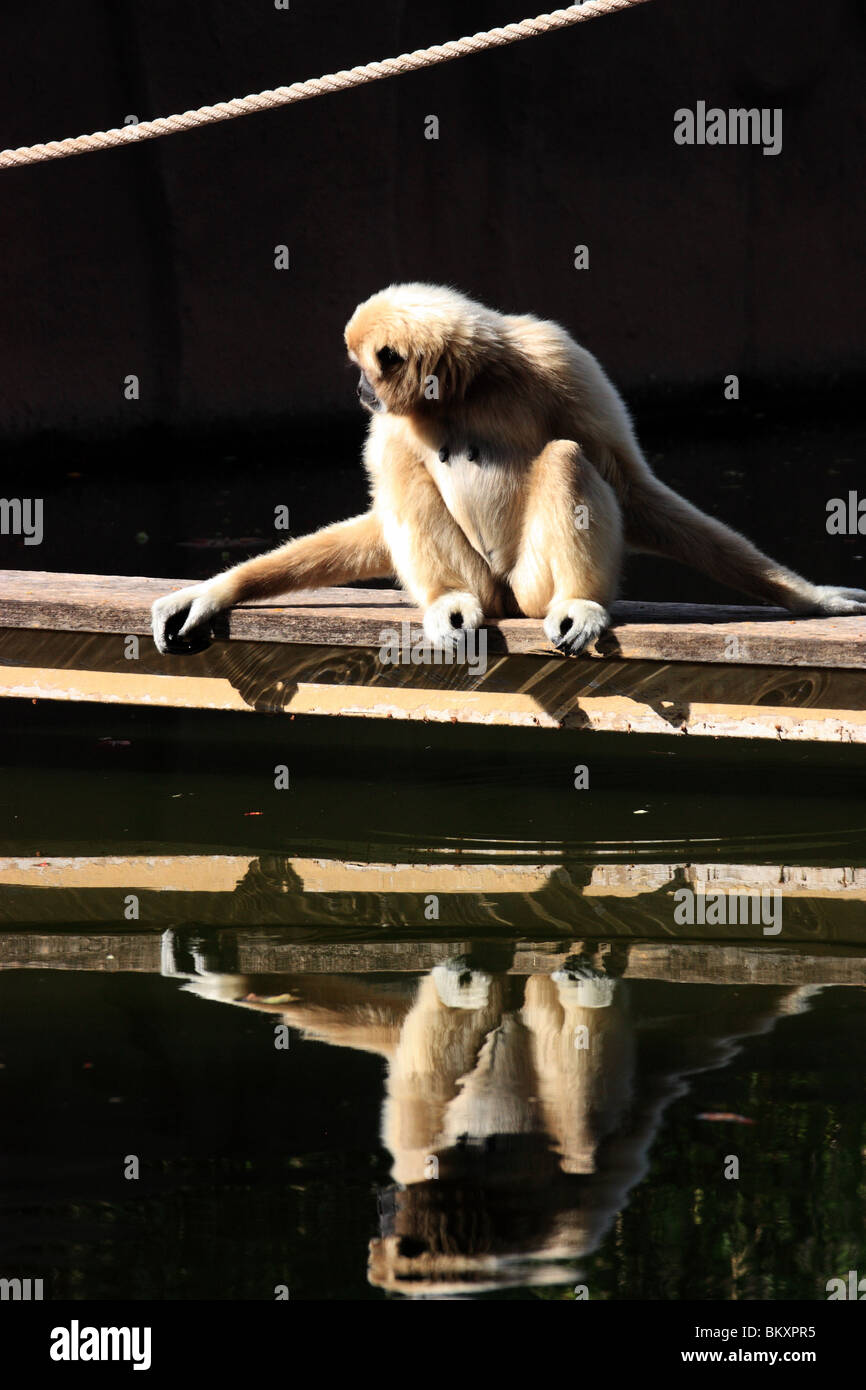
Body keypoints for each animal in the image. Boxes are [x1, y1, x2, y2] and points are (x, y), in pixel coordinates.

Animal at [151, 283, 866, 657]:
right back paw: (449, 602)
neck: (469, 387)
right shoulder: (389, 422)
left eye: (363, 369)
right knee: (413, 480)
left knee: (569, 456)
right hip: (485, 582)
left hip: (527, 585)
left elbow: (632, 486)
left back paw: (578, 601)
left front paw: (810, 597)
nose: (357, 390)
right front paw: (215, 589)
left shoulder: (558, 355)